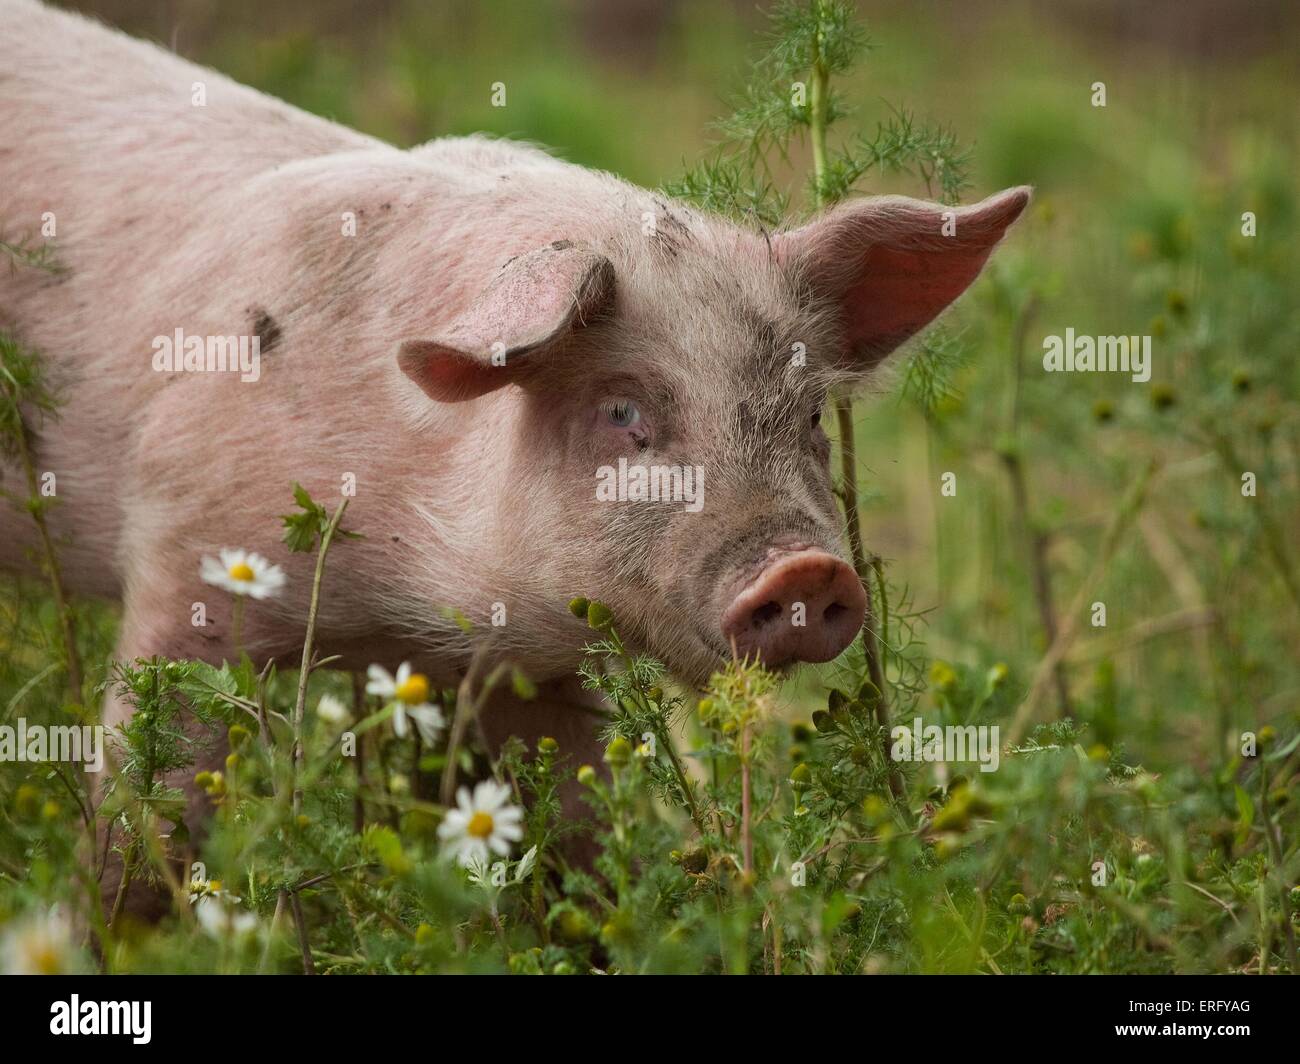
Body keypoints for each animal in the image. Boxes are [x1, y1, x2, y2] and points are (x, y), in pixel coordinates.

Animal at [0, 0, 1027, 914]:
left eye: (811, 412)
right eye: (622, 409)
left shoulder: (516, 673)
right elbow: (147, 817)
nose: (808, 568)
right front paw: (116, 932)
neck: (400, 589)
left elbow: (577, 835)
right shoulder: (184, 562)